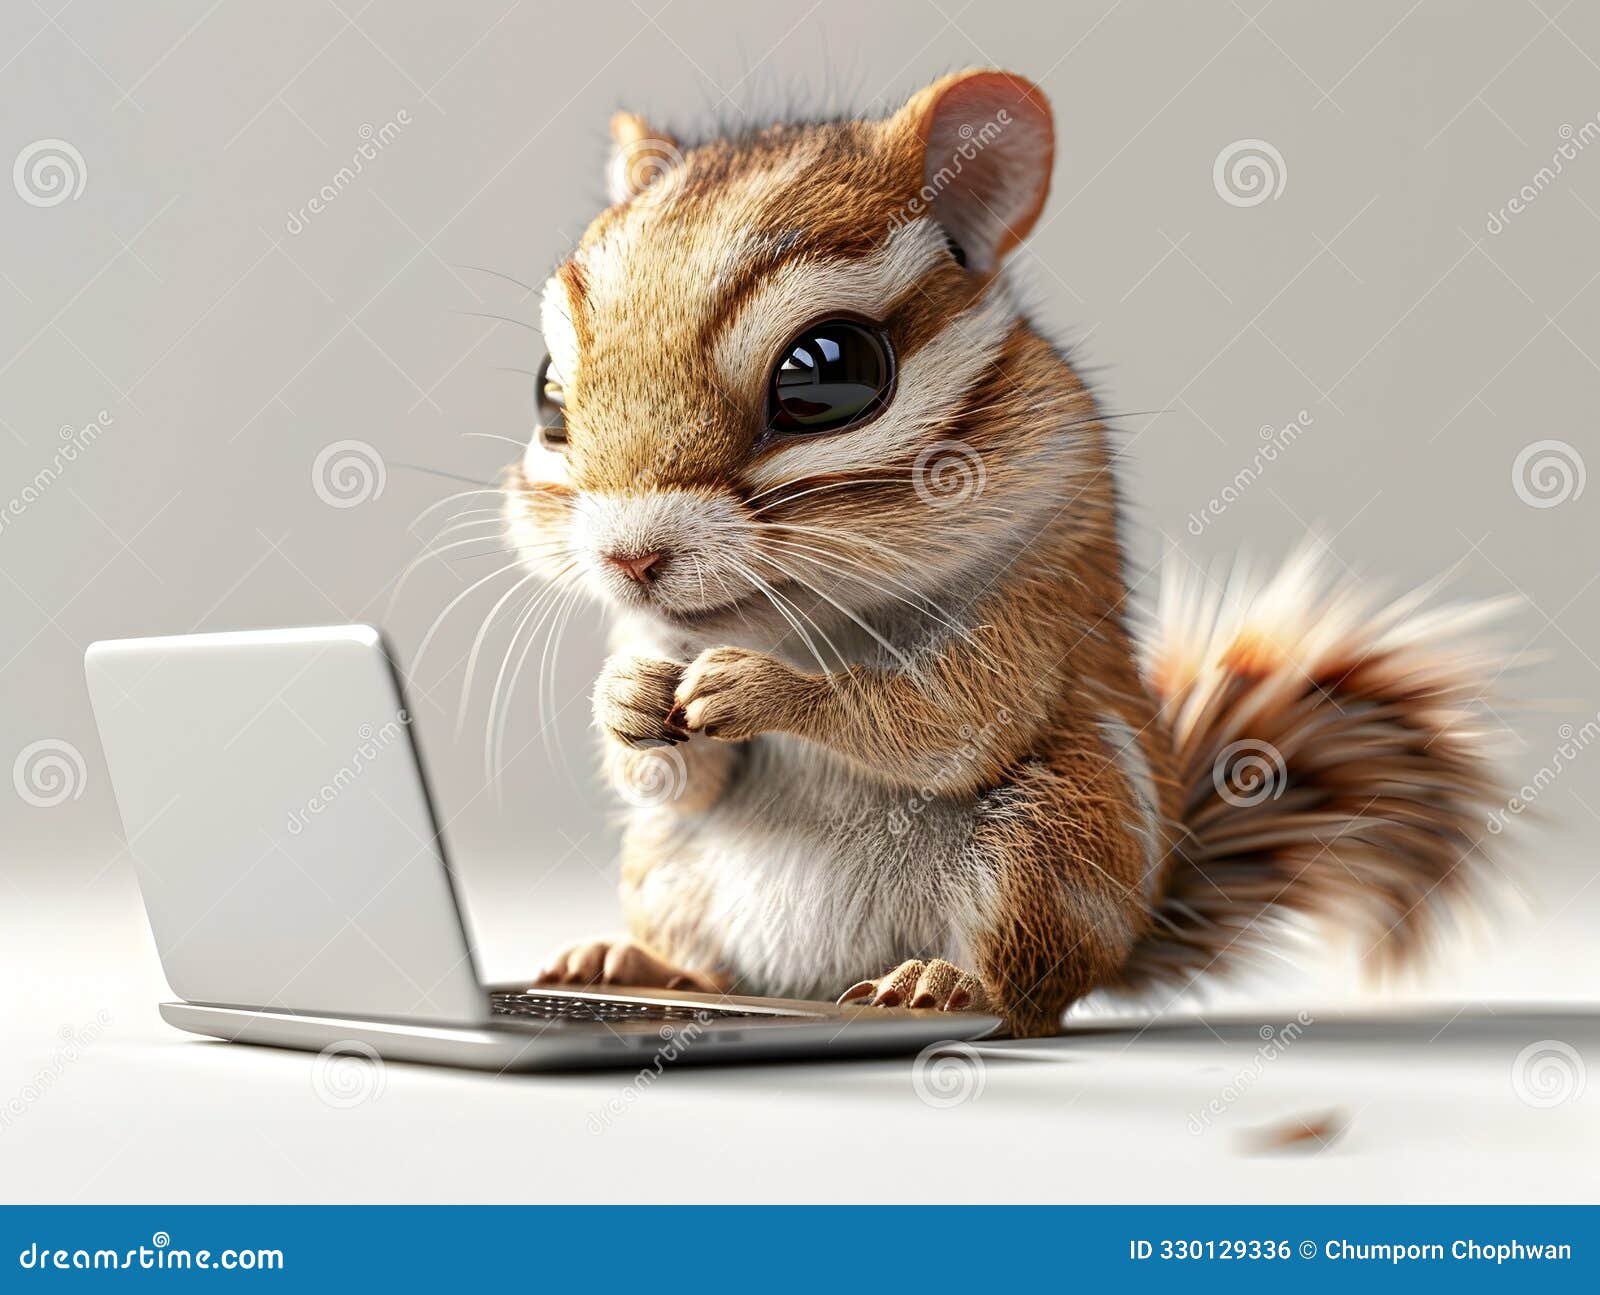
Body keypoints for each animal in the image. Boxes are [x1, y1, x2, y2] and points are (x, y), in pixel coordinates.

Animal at [502, 70, 1508, 1038]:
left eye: (827, 369)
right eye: (548, 392)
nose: (631, 559)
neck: (797, 615)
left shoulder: (1032, 609)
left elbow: (944, 718)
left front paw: (762, 687)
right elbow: (676, 778)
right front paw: (627, 695)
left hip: (1044, 839)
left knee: (1028, 996)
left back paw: (936, 982)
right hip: (668, 867)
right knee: (710, 959)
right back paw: (629, 961)